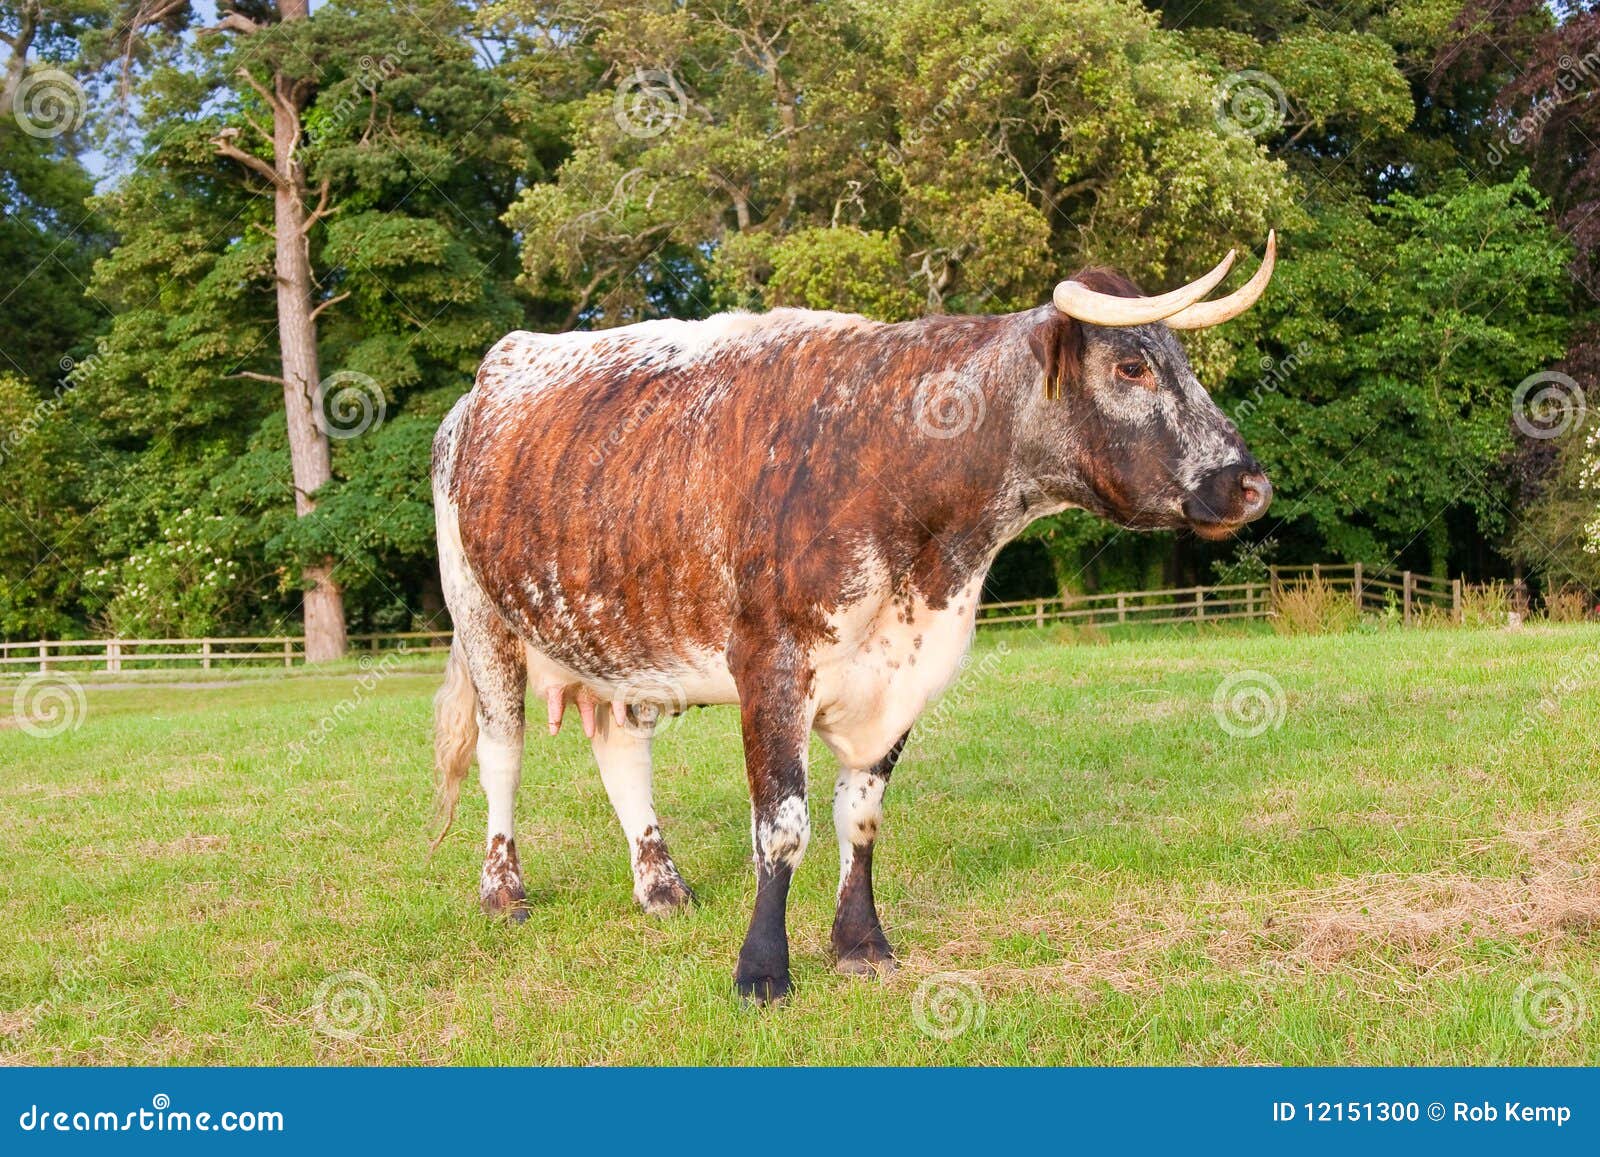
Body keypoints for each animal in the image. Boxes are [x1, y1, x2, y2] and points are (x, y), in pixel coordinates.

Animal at [430, 234, 1277, 1002]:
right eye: (1131, 366)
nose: (1250, 484)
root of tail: (477, 389)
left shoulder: (900, 672)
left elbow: (860, 817)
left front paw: (860, 942)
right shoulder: (771, 663)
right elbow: (783, 826)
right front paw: (763, 969)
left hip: (617, 635)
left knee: (621, 747)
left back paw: (662, 886)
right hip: (480, 617)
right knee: (502, 754)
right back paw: (504, 890)